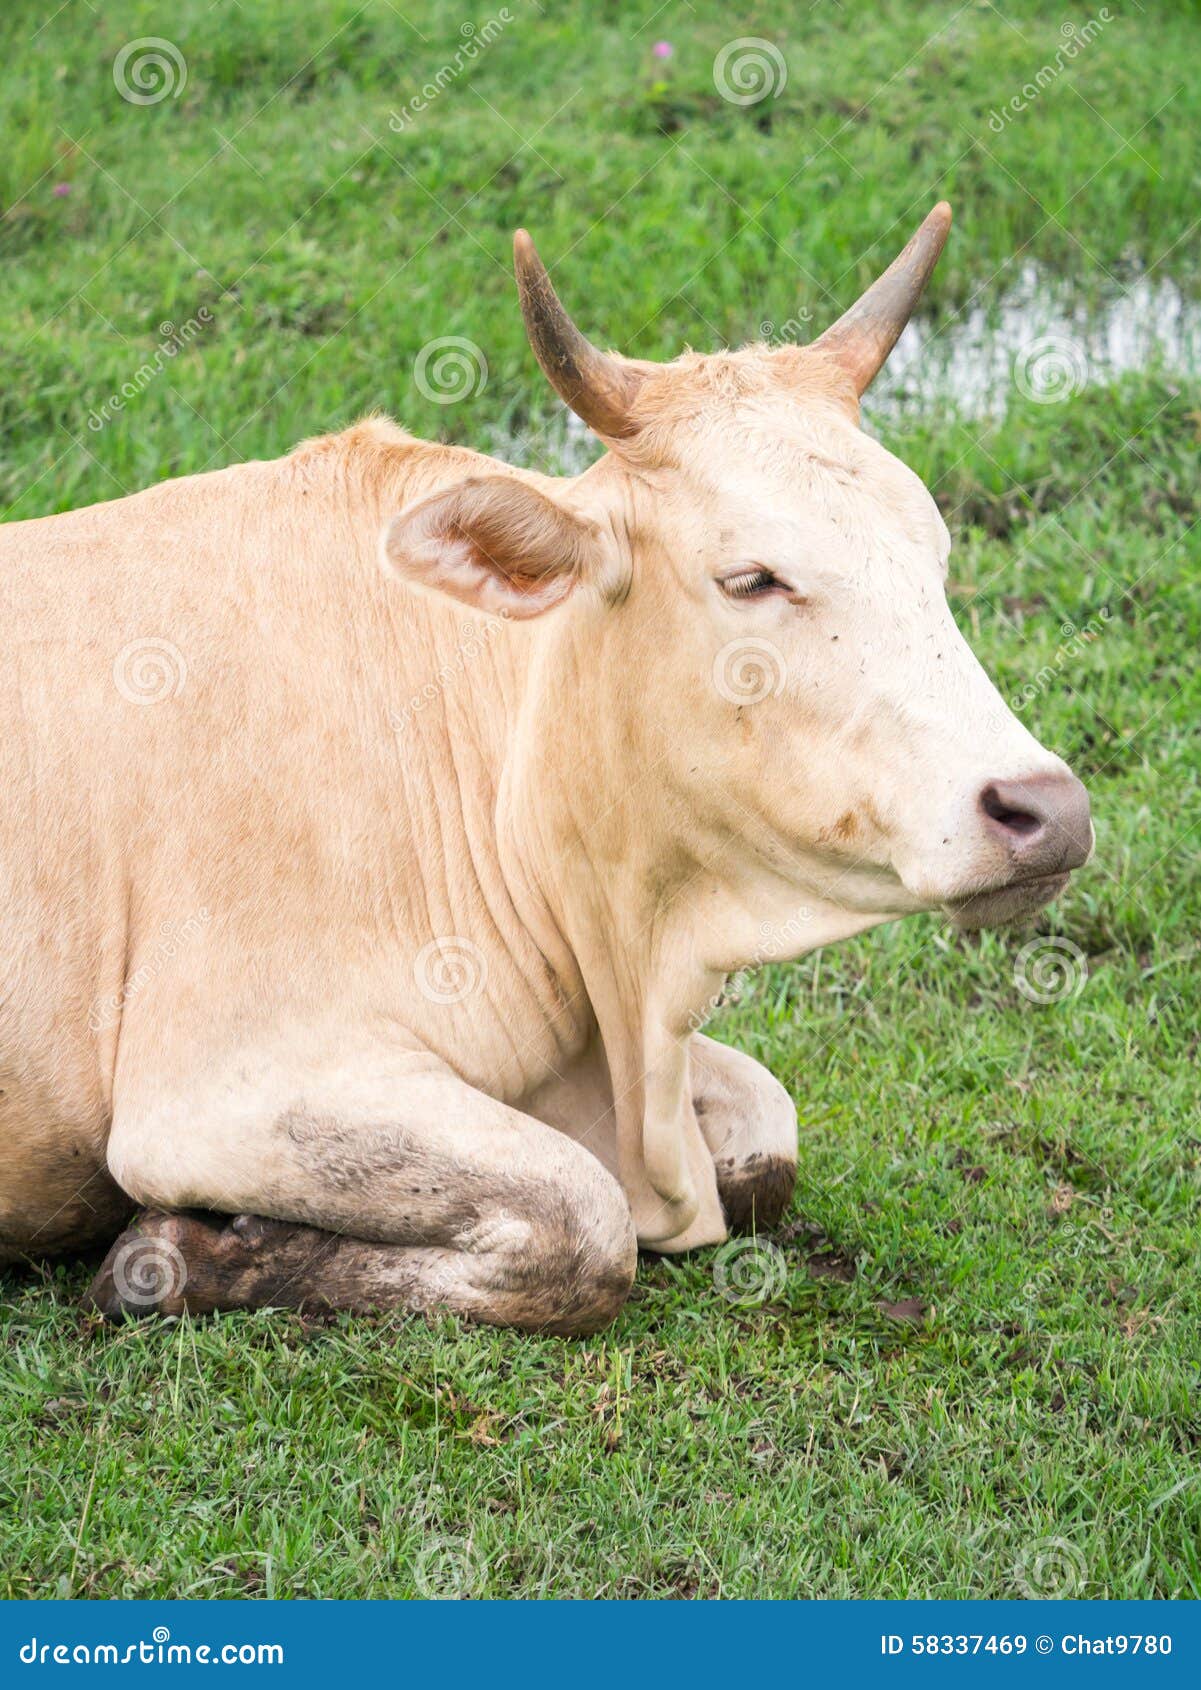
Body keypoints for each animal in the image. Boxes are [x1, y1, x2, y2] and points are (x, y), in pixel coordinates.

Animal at [0, 204, 1091, 1335]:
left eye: (935, 555)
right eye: (751, 578)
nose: (1044, 809)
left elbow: (764, 1135)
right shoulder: (222, 1086)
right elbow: (585, 1221)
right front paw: (171, 1255)